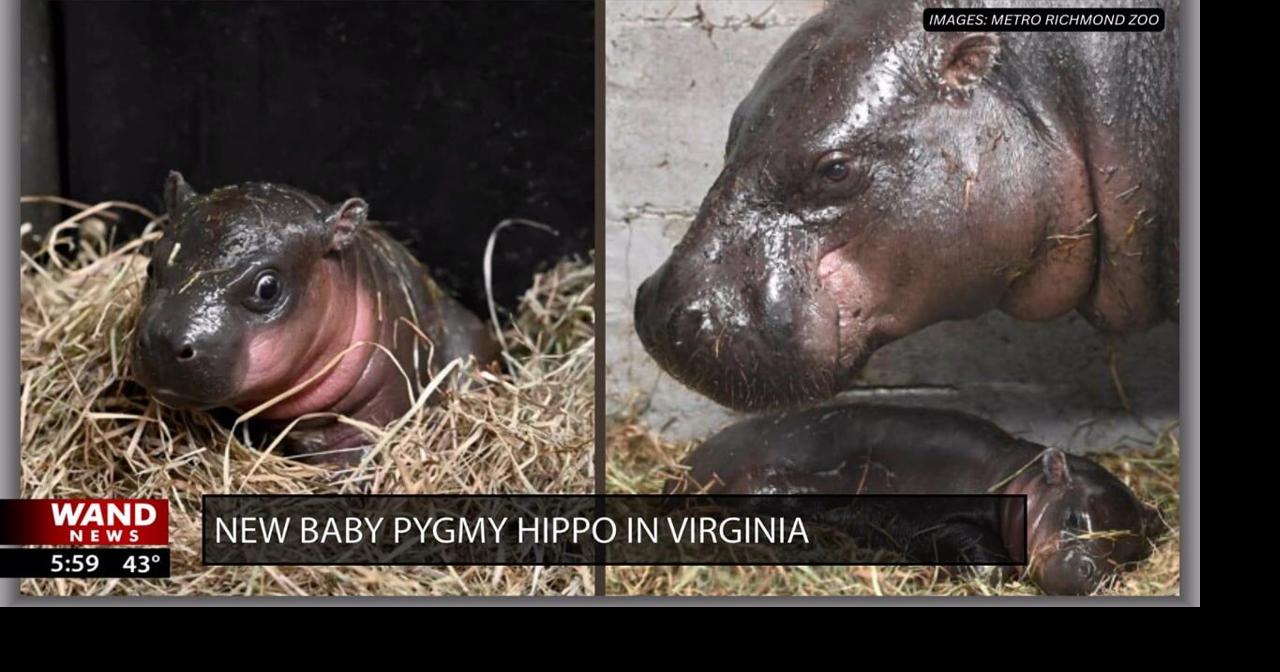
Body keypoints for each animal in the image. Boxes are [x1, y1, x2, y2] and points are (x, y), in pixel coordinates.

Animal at [670, 404, 1165, 595]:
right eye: (1076, 518)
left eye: (1133, 551)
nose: (1092, 572)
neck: (1015, 482)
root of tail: (688, 466)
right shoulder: (938, 513)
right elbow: (980, 551)